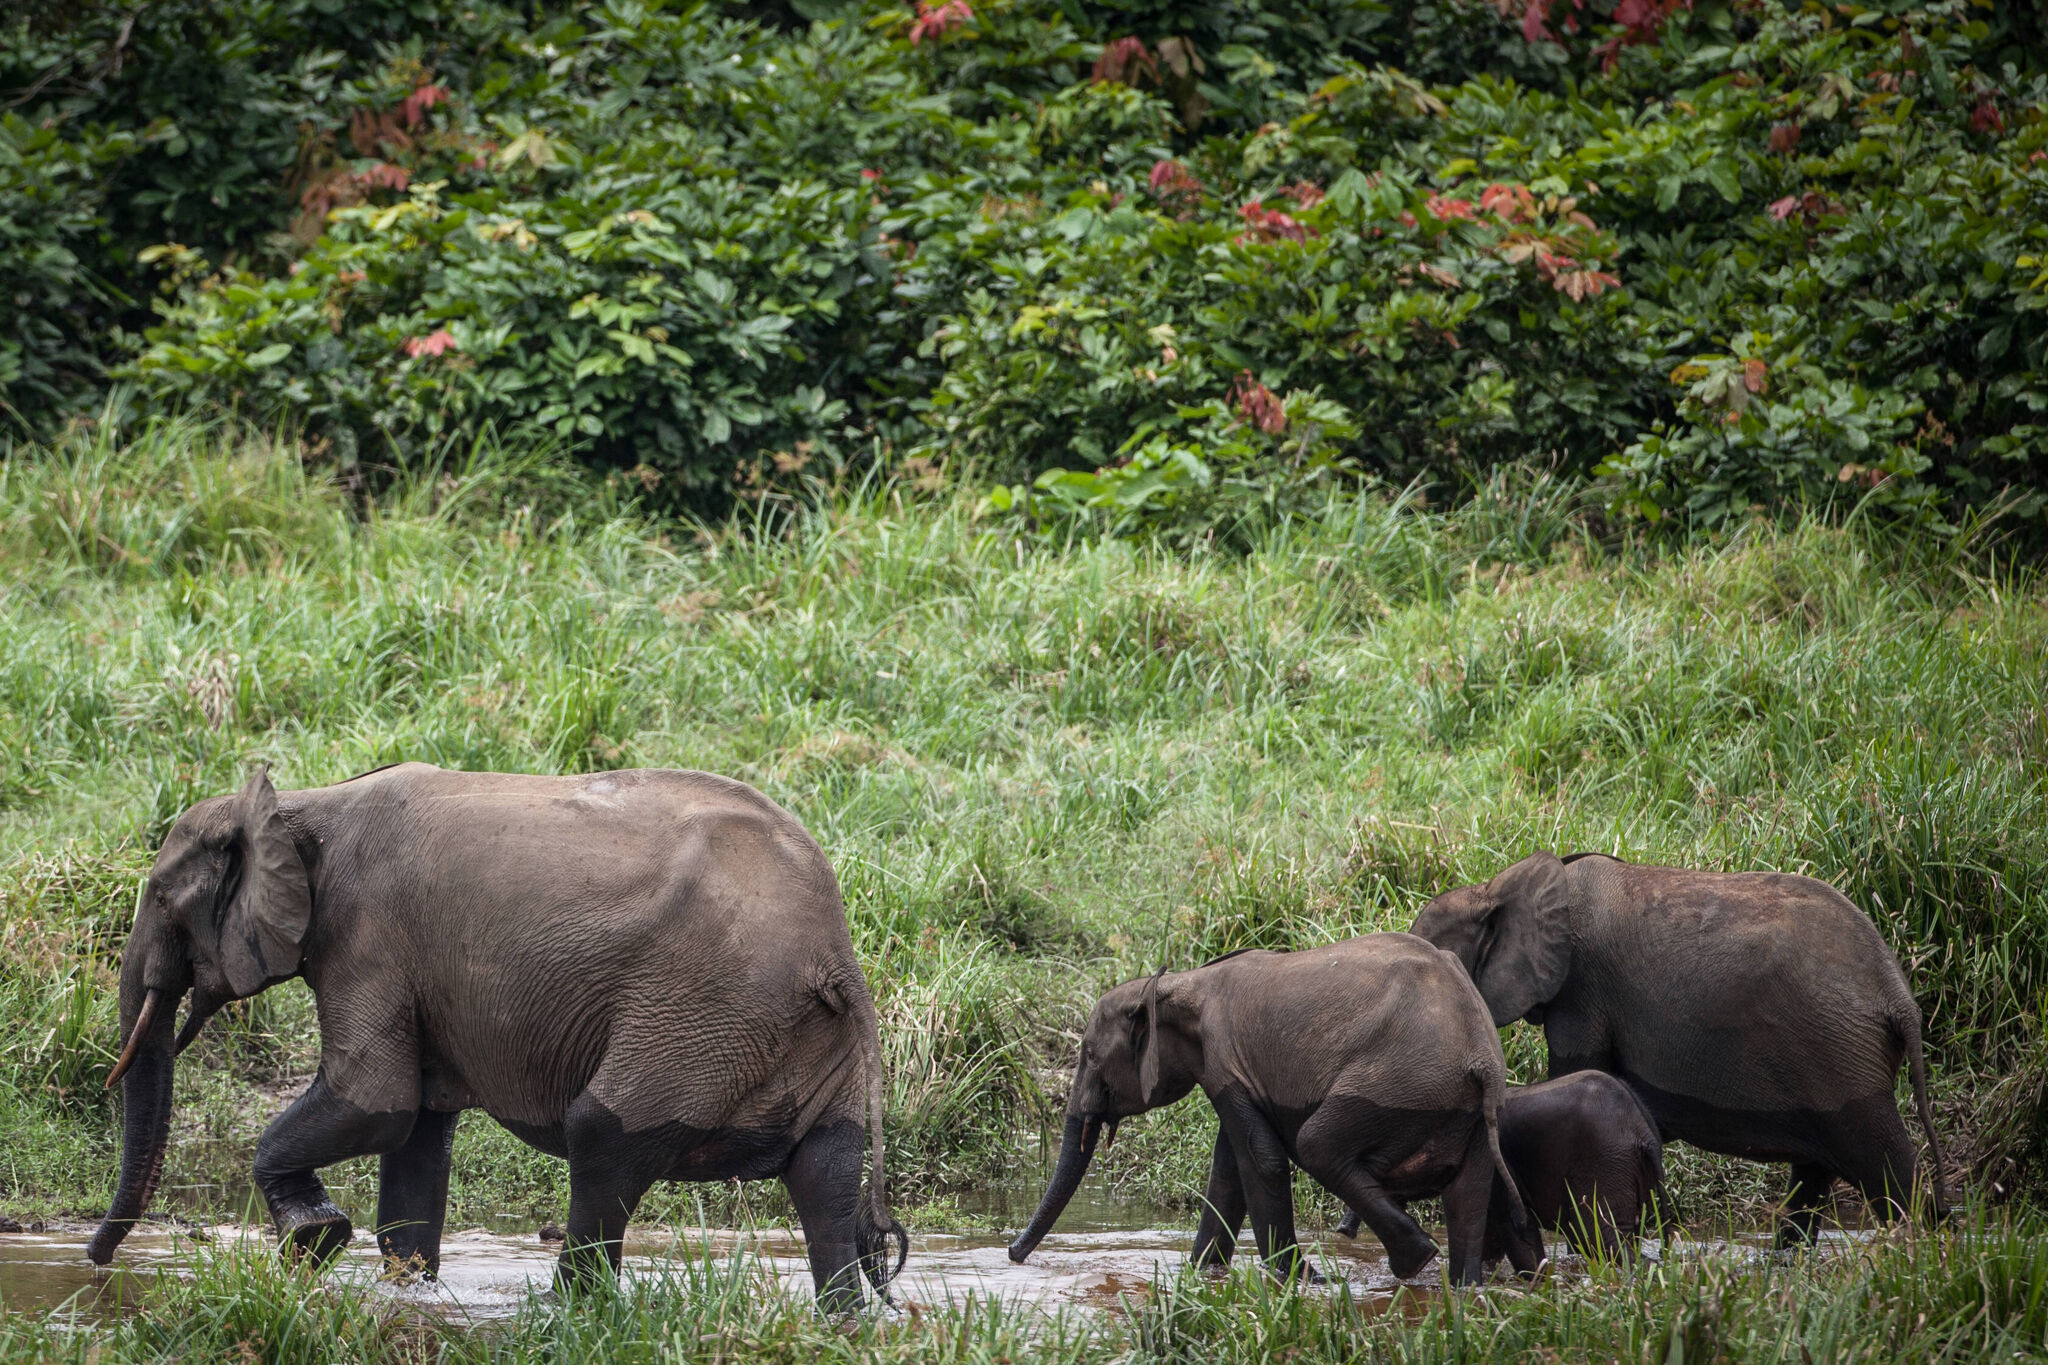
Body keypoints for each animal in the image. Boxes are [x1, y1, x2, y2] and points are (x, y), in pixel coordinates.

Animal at [87, 762, 906, 1311]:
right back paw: (844, 1318)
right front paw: (406, 1294)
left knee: (602, 1136)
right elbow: (415, 1134)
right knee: (825, 1172)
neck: (296, 803)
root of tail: (834, 951)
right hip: (791, 1029)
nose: (96, 1261)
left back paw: (566, 1309)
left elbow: (373, 1105)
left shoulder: (368, 938)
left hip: (701, 1011)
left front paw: (314, 1238)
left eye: (159, 897)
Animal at [1006, 935, 1535, 1286]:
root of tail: (1481, 1055)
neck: (1179, 983)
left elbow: (1259, 1159)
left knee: (1318, 1146)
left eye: (1089, 1056)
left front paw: (1297, 1280)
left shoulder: (1223, 1056)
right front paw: (1199, 1273)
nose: (1012, 1253)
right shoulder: (1231, 1072)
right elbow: (1228, 1171)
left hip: (1401, 1081)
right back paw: (1462, 1286)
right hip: (1463, 1105)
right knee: (1469, 1192)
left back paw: (1414, 1261)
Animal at [1337, 1070, 1672, 1264]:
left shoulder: (1498, 1173)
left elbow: (1515, 1233)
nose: (1342, 1231)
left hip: (1605, 1163)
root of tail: (1644, 1135)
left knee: (1605, 1238)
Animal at [1407, 851, 1948, 1244]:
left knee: (1887, 1170)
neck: (1494, 889)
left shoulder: (1582, 991)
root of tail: (1898, 996)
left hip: (1840, 1056)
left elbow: (1576, 1071)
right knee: (1812, 1181)